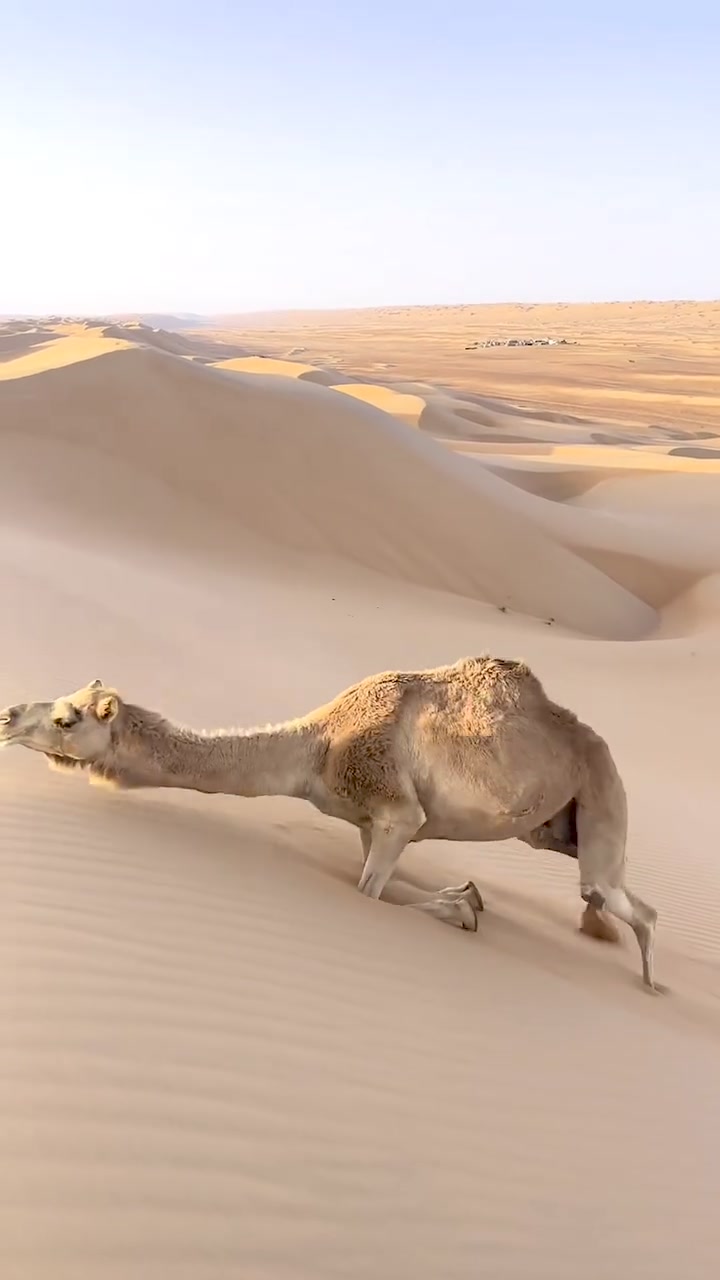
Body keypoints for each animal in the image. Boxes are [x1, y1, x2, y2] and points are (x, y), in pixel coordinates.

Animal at [0, 656, 659, 989]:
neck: (315, 750)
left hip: (601, 788)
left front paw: (461, 906)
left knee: (624, 901)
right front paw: (466, 897)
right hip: (553, 826)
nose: (6, 713)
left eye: (65, 719)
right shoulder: (370, 822)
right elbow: (377, 883)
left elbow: (371, 895)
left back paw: (650, 984)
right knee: (606, 894)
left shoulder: (396, 809)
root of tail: (598, 745)